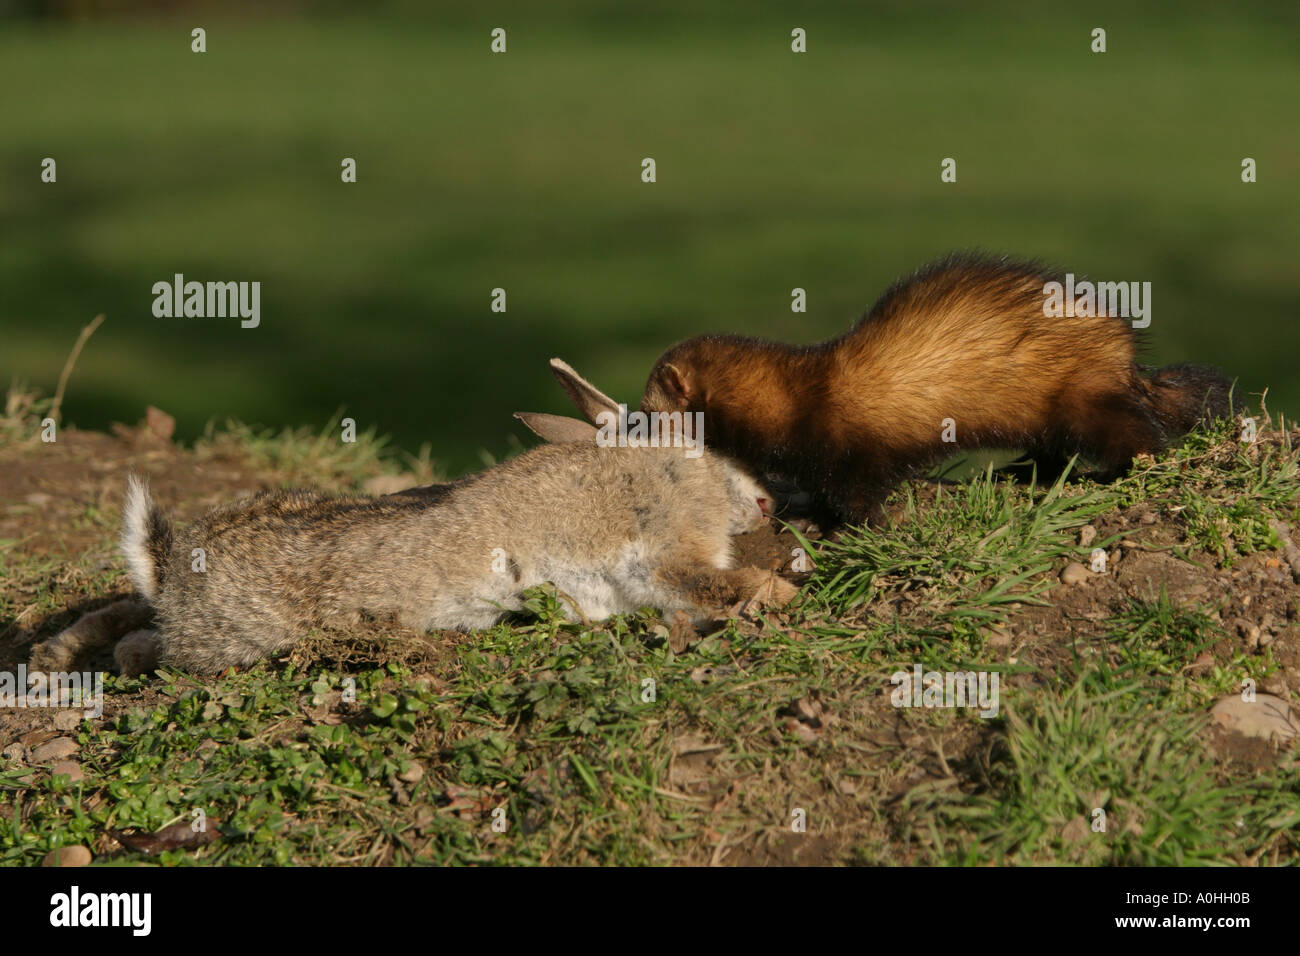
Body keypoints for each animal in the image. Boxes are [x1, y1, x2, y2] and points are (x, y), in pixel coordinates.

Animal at [29, 415, 796, 677]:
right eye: (713, 450)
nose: (767, 502)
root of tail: (173, 567)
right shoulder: (665, 546)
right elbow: (705, 580)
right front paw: (780, 592)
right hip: (232, 634)